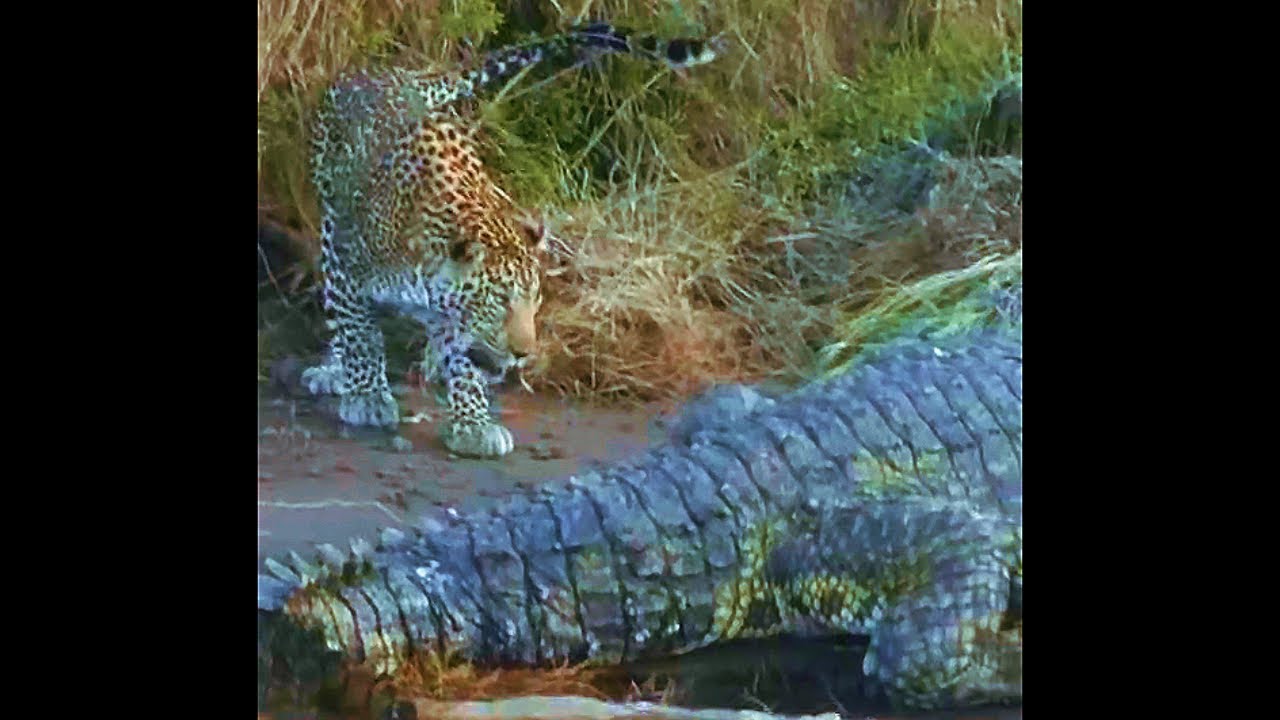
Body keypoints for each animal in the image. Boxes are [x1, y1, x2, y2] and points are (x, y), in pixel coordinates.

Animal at [301, 22, 721, 458]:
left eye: (534, 301)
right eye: (499, 301)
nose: (524, 355)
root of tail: (390, 74)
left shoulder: (455, 314)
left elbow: (461, 356)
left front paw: (472, 423)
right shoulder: (349, 268)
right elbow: (360, 332)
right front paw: (366, 396)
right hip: (330, 220)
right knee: (339, 310)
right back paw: (337, 369)